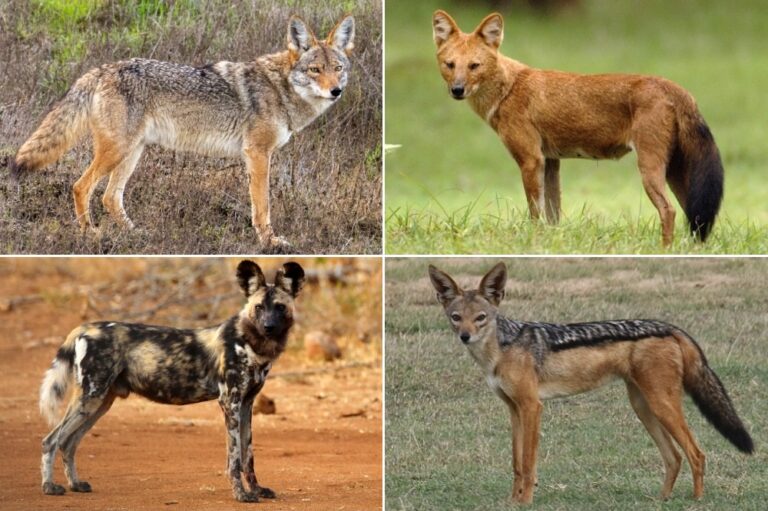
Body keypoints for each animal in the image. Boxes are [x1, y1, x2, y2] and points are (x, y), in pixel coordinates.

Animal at [11, 15, 355, 248]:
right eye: (315, 70)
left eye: (337, 69)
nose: (336, 91)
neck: (280, 88)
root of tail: (102, 70)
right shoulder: (257, 154)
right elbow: (263, 206)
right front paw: (269, 242)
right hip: (118, 152)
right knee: (81, 187)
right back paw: (91, 235)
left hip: (131, 153)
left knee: (110, 197)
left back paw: (136, 234)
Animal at [38, 260, 305, 502]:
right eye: (258, 307)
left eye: (279, 307)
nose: (268, 327)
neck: (251, 343)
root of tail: (86, 327)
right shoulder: (230, 402)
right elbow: (234, 458)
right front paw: (241, 494)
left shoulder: (247, 404)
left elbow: (248, 455)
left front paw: (257, 490)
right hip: (90, 398)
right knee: (51, 441)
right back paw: (50, 487)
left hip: (100, 403)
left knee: (68, 443)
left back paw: (75, 484)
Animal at [428, 262, 753, 504]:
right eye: (456, 317)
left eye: (481, 318)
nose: (465, 336)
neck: (499, 351)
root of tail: (668, 326)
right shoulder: (514, 410)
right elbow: (516, 464)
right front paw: (512, 502)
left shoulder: (532, 407)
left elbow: (529, 464)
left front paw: (525, 502)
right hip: (644, 408)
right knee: (674, 457)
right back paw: (662, 500)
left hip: (661, 406)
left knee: (697, 454)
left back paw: (696, 501)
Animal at [432, 10, 723, 245]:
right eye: (450, 65)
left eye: (474, 66)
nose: (457, 90)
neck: (508, 89)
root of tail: (673, 86)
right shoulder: (550, 161)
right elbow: (553, 215)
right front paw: (549, 244)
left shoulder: (531, 159)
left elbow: (535, 213)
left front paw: (533, 242)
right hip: (676, 173)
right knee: (696, 215)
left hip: (650, 168)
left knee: (669, 210)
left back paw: (665, 250)